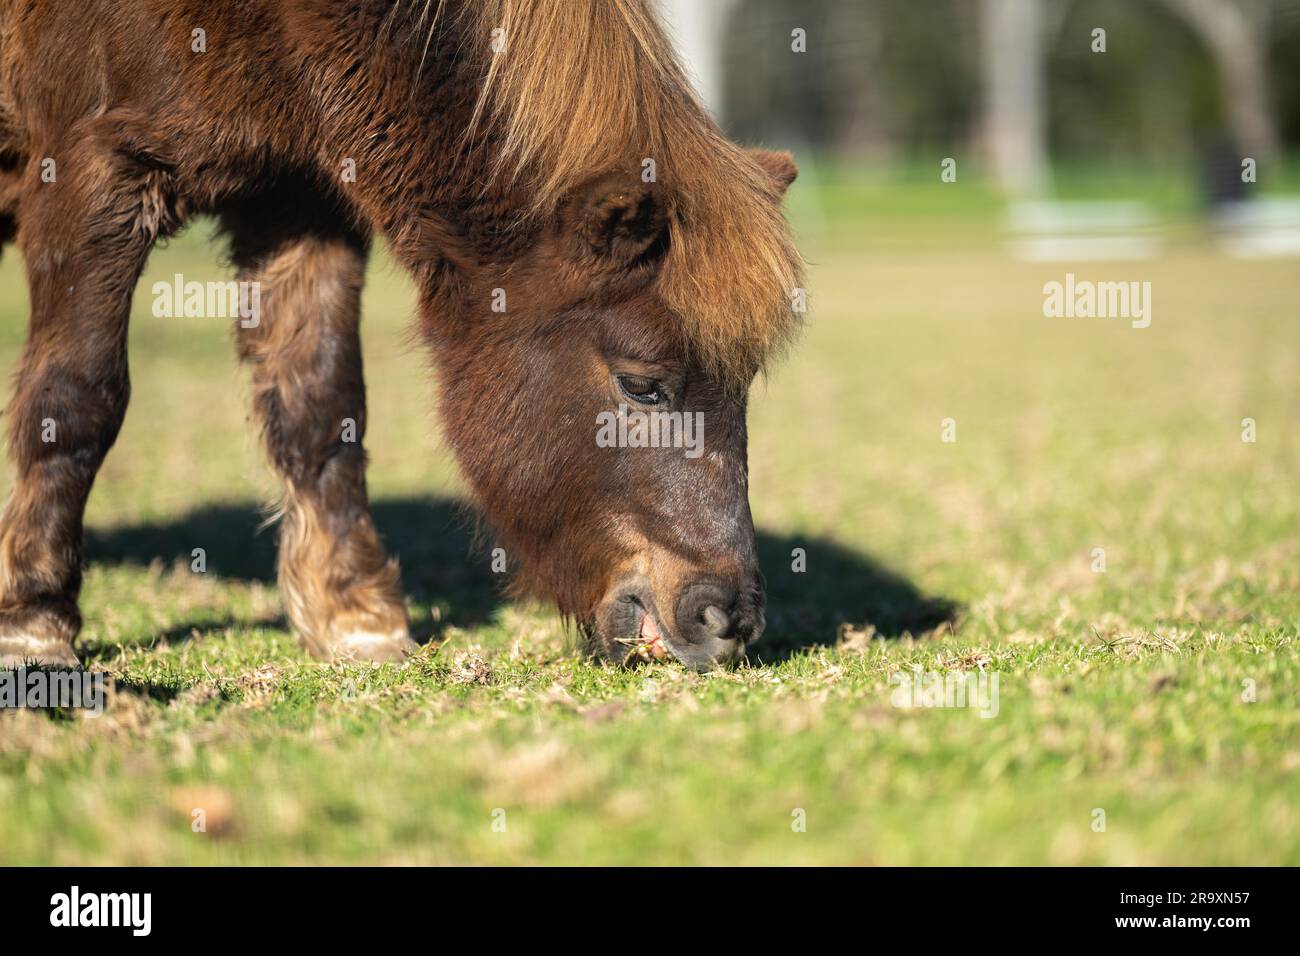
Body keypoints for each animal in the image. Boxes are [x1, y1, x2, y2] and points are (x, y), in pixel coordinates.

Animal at [0, 0, 803, 671]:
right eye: (642, 386)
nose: (727, 619)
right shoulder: (93, 174)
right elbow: (77, 400)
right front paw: (34, 623)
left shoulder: (296, 201)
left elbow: (320, 404)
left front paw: (354, 616)